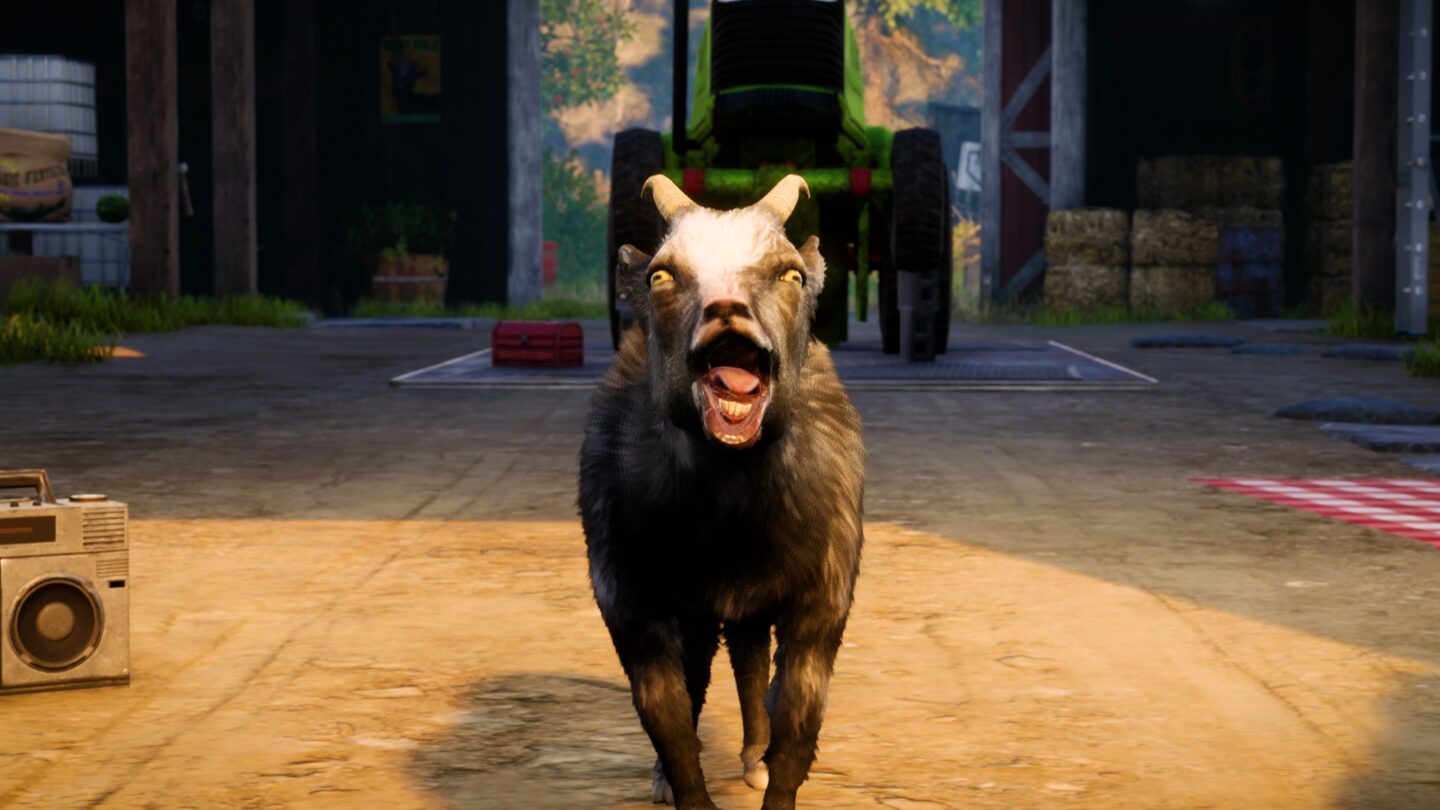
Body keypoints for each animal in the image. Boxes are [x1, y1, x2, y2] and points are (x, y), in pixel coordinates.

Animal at [578, 174, 865, 810]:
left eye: (790, 275)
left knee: (751, 661)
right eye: (662, 275)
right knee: (711, 666)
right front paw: (675, 779)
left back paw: (753, 754)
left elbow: (796, 717)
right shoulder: (633, 597)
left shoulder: (821, 598)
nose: (727, 310)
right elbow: (668, 712)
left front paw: (771, 768)